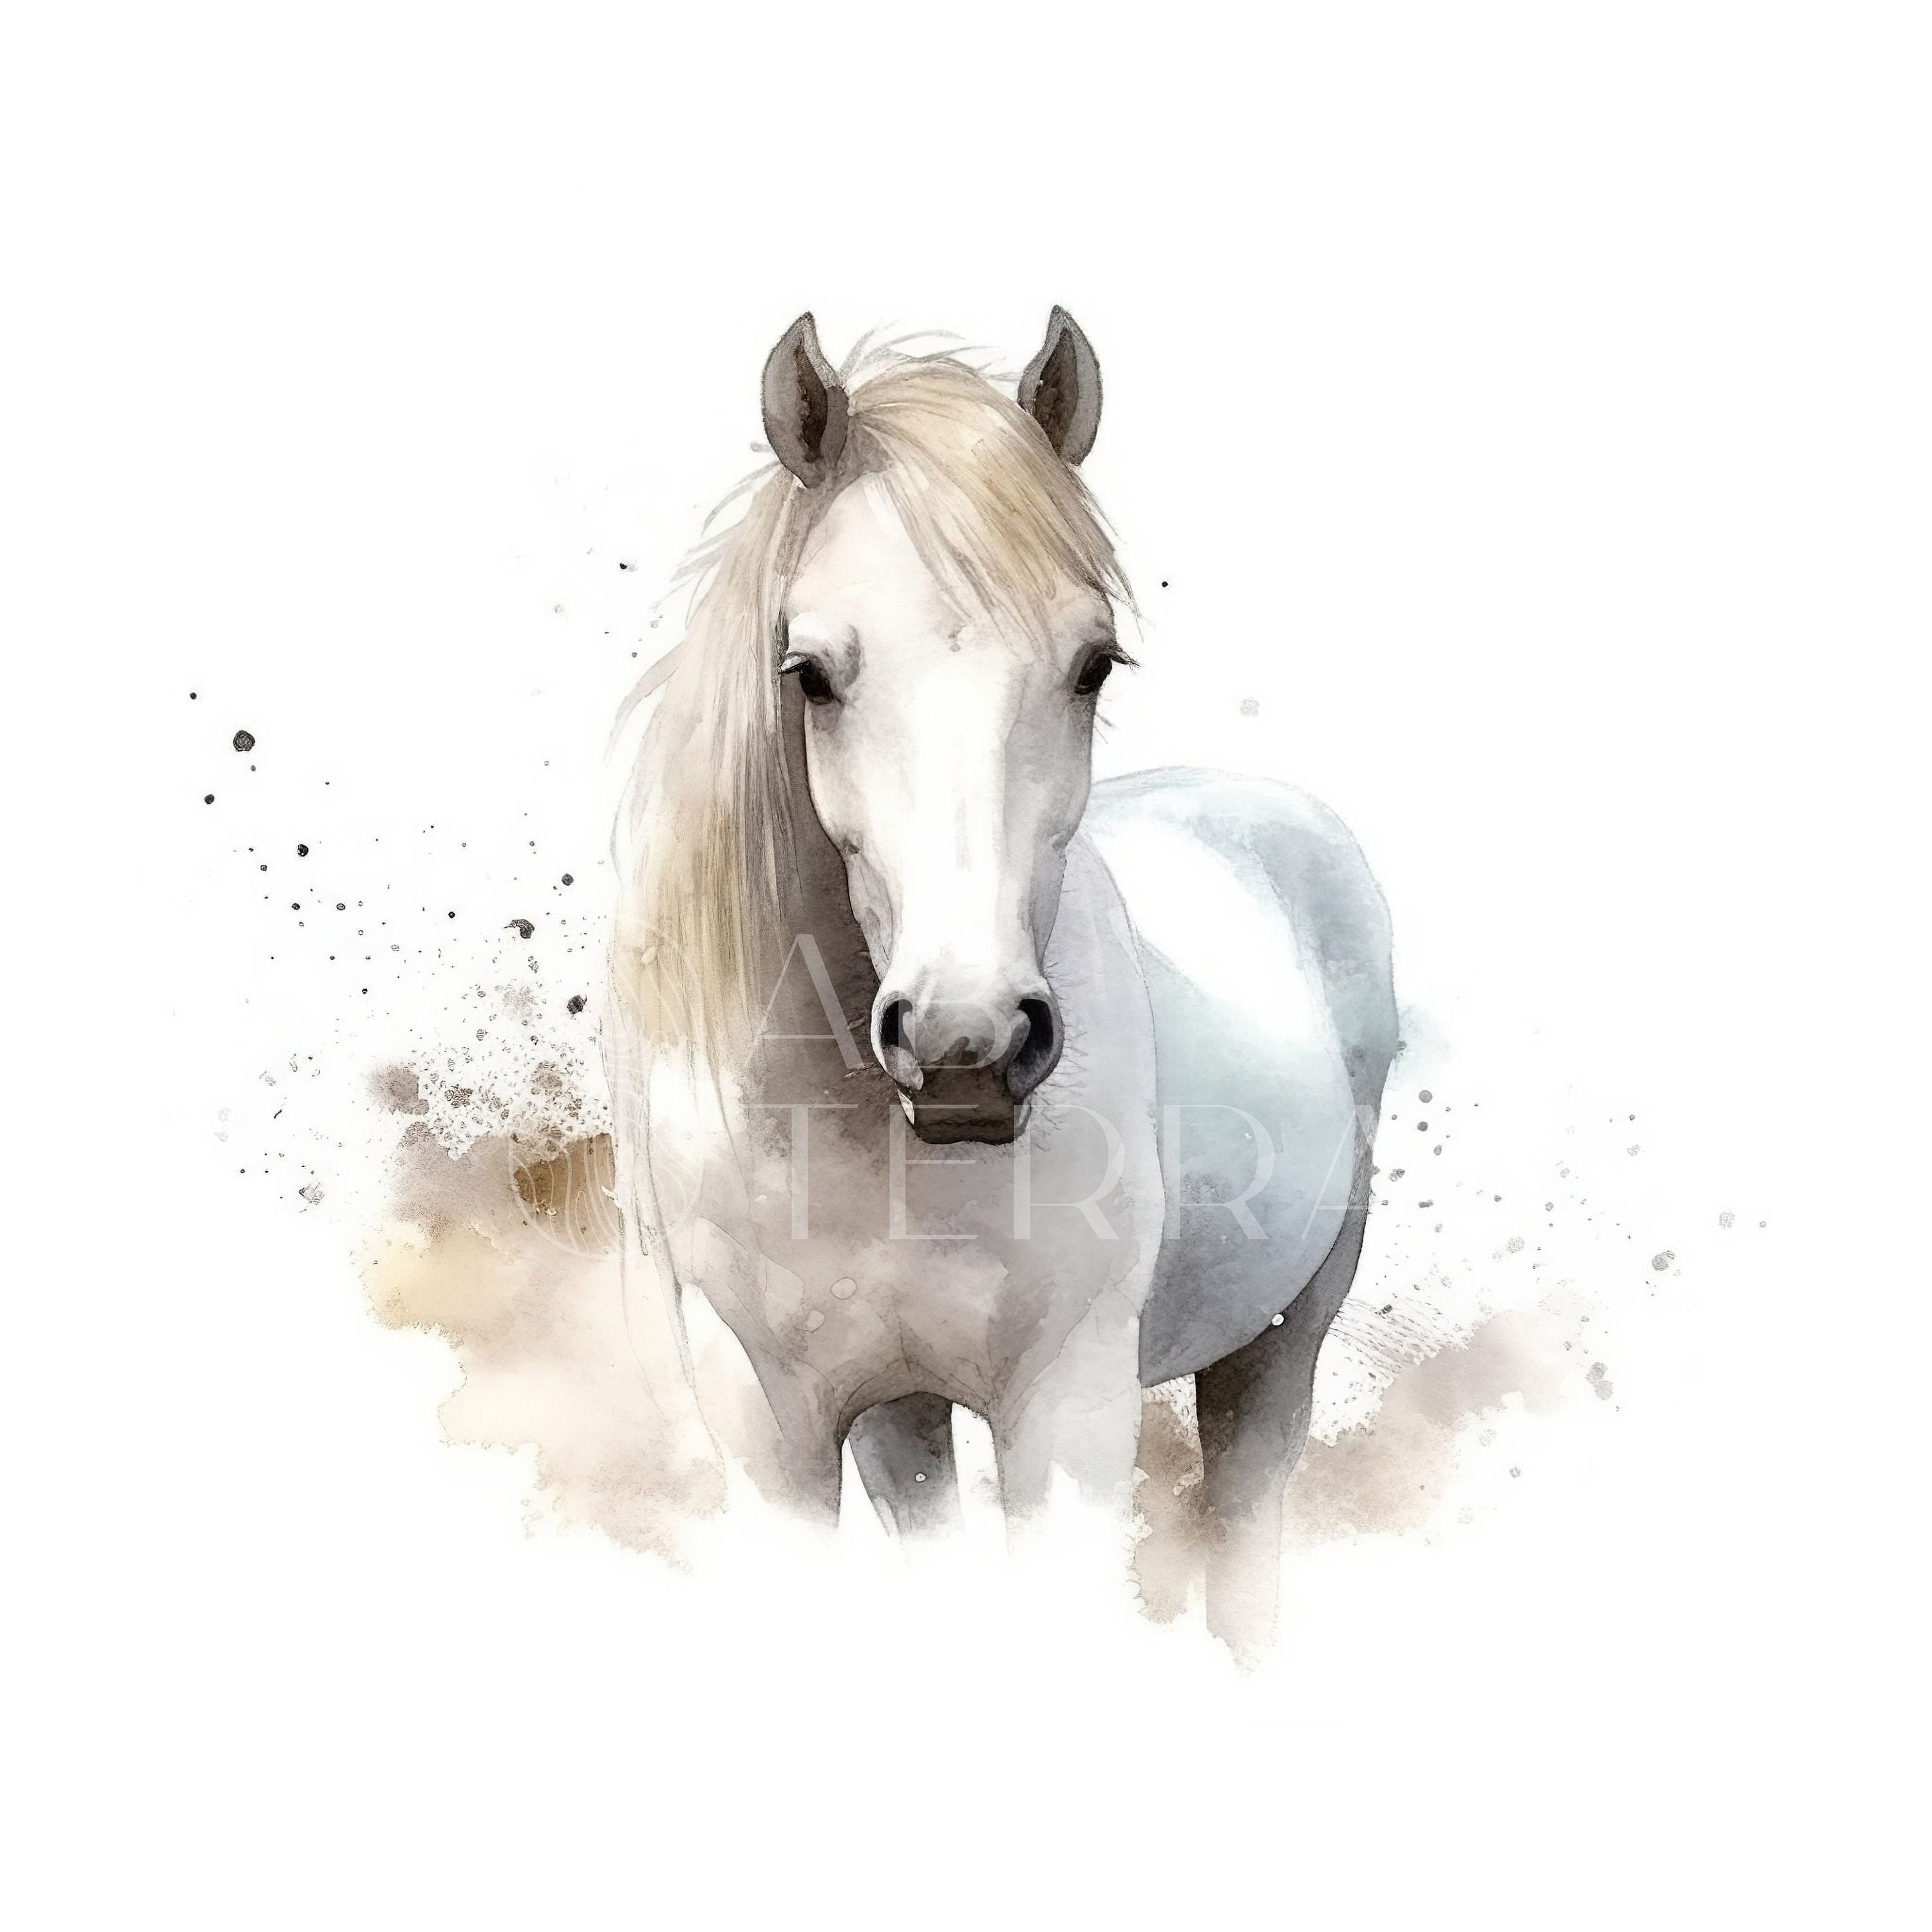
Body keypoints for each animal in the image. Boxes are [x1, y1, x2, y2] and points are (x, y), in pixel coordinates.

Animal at [606, 310, 1396, 1654]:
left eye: (1094, 665)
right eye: (808, 672)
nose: (965, 1045)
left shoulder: (1067, 1418)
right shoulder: (772, 1426)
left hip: (1282, 1341)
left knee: (1247, 1521)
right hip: (905, 1424)